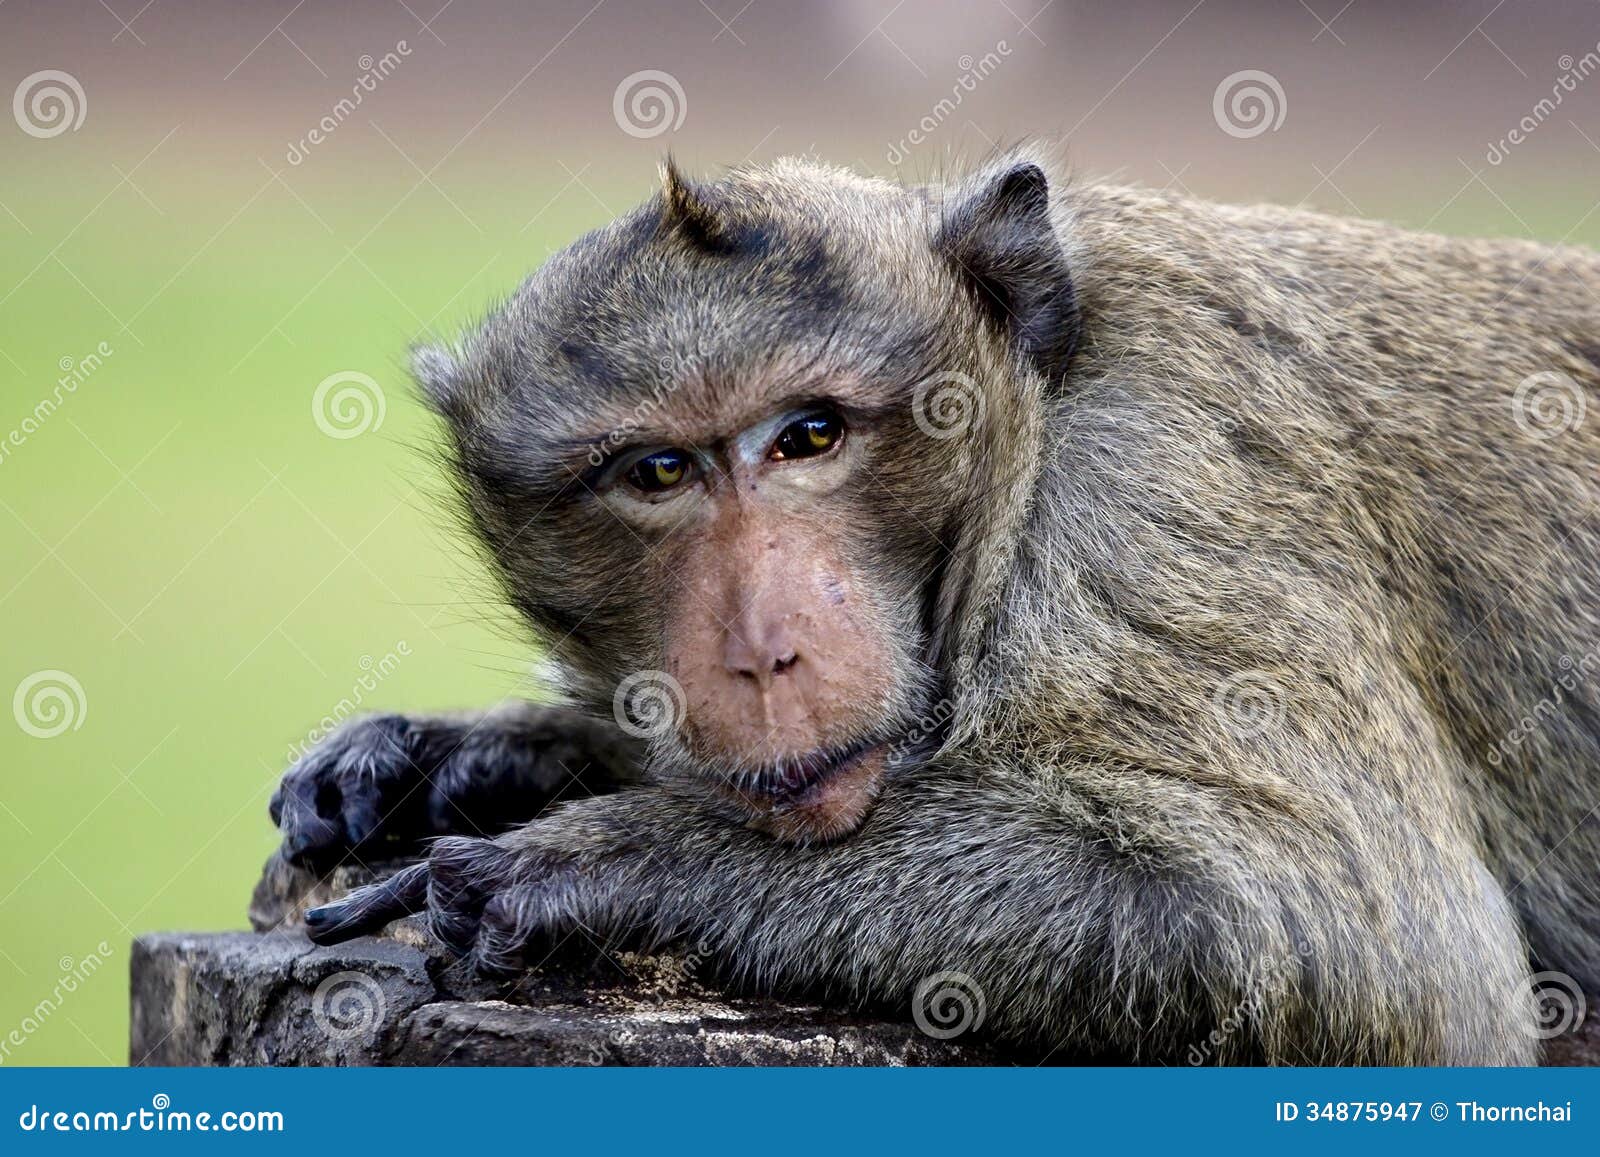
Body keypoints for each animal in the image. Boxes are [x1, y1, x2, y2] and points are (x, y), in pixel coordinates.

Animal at [272, 150, 1600, 1065]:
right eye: (655, 471)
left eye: (809, 435)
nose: (763, 648)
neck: (1042, 407)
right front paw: (454, 754)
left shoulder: (1169, 480)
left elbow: (1356, 946)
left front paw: (579, 859)